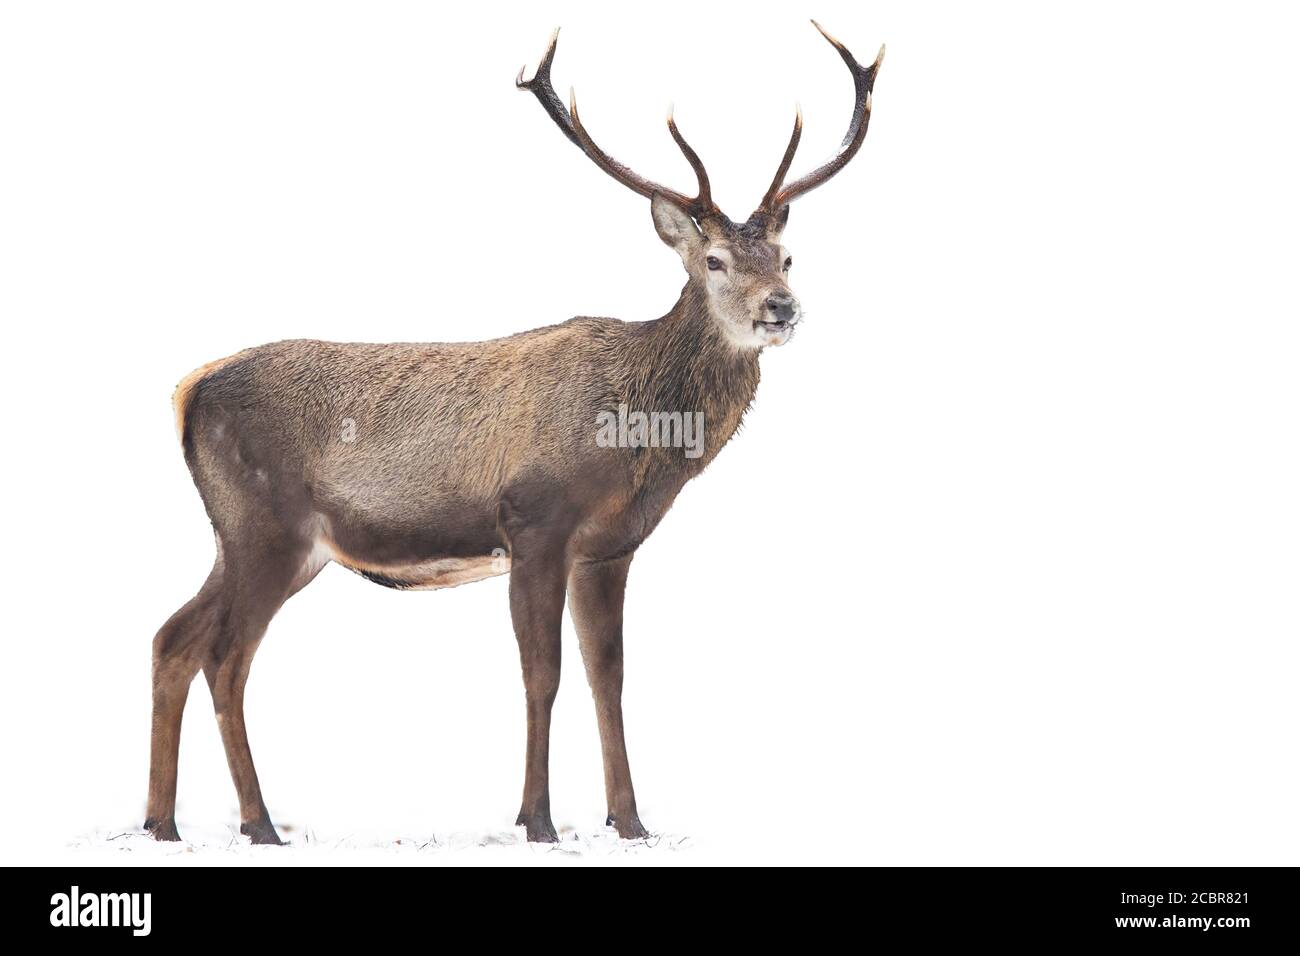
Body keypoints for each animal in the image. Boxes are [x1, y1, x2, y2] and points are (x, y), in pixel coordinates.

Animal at [145, 21, 883, 845]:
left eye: (787, 256)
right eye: (716, 260)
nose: (781, 307)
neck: (637, 442)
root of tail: (187, 390)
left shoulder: (609, 548)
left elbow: (608, 674)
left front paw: (629, 821)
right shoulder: (534, 521)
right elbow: (543, 673)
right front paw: (539, 820)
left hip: (256, 538)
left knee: (173, 637)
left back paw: (162, 823)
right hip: (266, 525)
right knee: (224, 655)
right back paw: (259, 823)